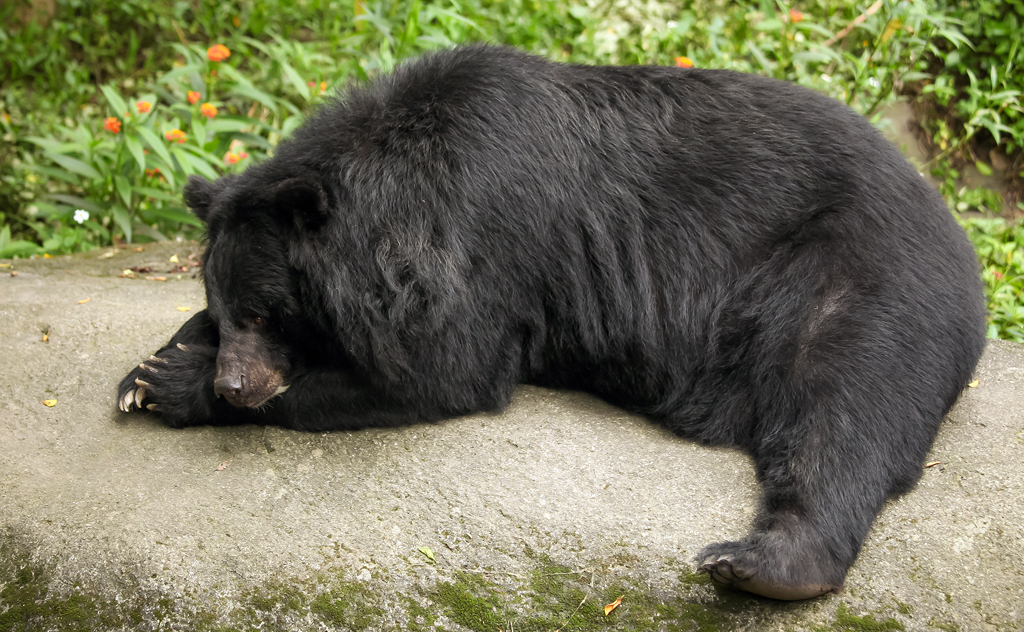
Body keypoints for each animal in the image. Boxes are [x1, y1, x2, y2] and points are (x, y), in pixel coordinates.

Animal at [117, 44, 986, 600]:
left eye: (268, 313)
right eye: (232, 312)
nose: (238, 385)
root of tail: (952, 225)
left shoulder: (489, 247)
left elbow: (444, 367)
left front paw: (182, 386)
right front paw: (148, 371)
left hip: (868, 279)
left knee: (846, 404)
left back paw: (761, 564)